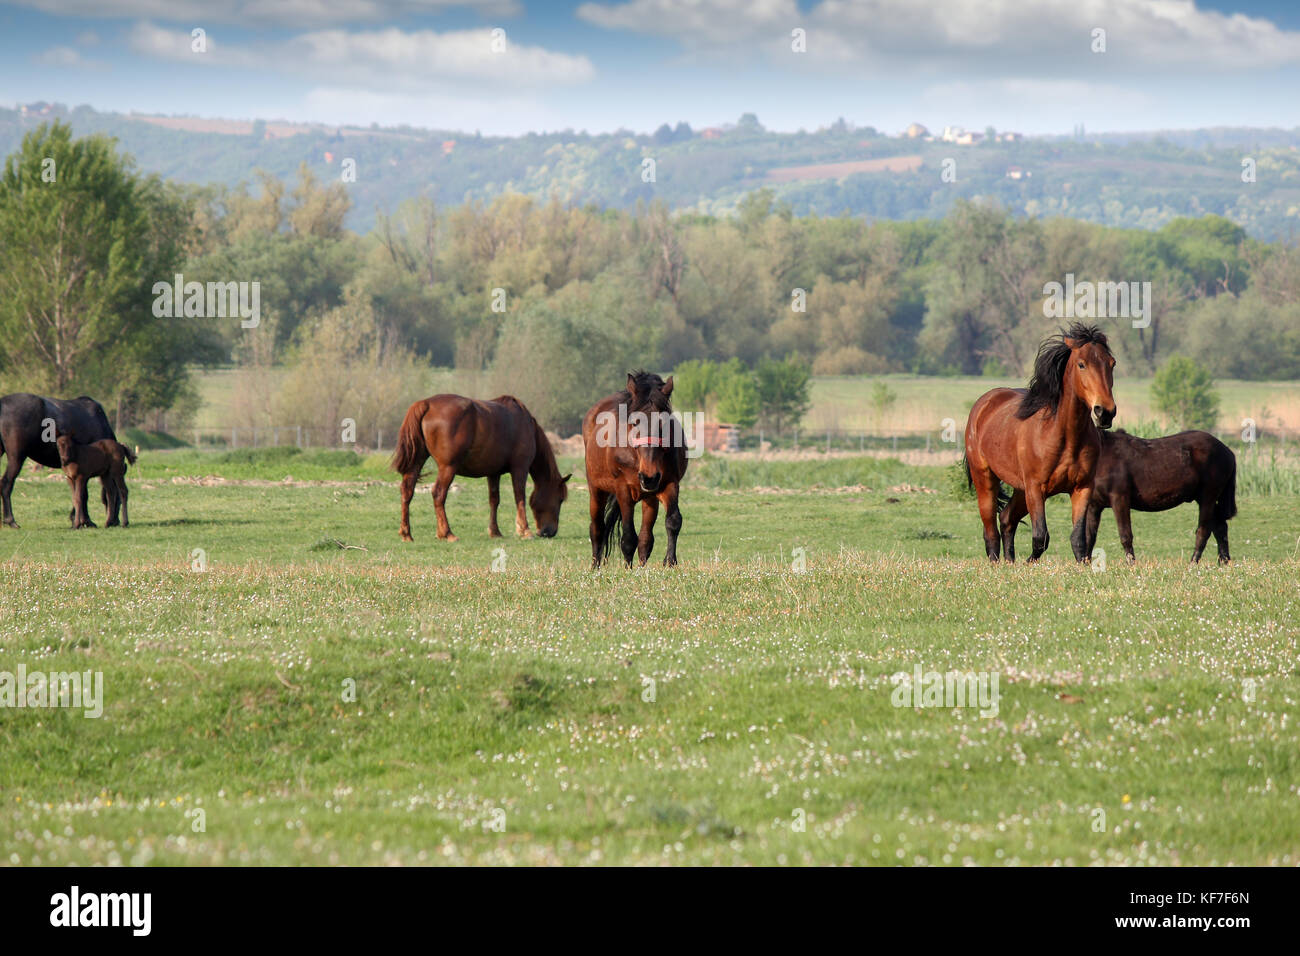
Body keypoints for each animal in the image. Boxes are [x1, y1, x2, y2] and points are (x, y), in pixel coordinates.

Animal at [0, 393, 117, 528]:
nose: (116, 522)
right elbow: (83, 494)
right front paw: (85, 521)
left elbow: (79, 493)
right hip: (17, 457)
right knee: (6, 483)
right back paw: (10, 520)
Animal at [391, 394, 570, 542]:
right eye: (560, 499)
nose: (550, 532)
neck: (525, 424)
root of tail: (426, 403)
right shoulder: (520, 468)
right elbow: (520, 497)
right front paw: (524, 530)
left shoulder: (494, 473)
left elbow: (494, 500)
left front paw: (495, 531)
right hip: (448, 467)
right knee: (438, 494)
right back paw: (447, 533)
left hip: (417, 463)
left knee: (407, 491)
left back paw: (407, 533)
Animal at [582, 371, 688, 568]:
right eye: (635, 422)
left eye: (665, 423)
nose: (649, 477)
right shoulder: (623, 489)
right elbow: (628, 537)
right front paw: (628, 569)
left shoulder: (669, 483)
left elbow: (673, 521)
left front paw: (670, 561)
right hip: (596, 490)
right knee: (597, 529)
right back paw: (595, 566)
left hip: (650, 498)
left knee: (646, 538)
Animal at [964, 323, 1117, 563]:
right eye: (1082, 364)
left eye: (1112, 363)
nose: (1105, 412)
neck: (1064, 436)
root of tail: (983, 404)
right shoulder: (1036, 489)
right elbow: (1040, 537)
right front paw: (1028, 564)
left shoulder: (1082, 488)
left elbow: (1078, 540)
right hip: (985, 479)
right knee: (990, 531)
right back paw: (998, 563)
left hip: (1020, 489)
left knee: (1006, 519)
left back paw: (1010, 562)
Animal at [1082, 429, 1237, 564]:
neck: (1103, 455)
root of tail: (1227, 450)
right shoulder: (1094, 506)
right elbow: (1089, 537)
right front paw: (1084, 565)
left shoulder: (1120, 499)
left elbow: (1125, 535)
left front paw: (1131, 565)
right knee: (1220, 527)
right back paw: (1224, 562)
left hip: (1208, 498)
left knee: (1203, 531)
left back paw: (1193, 563)